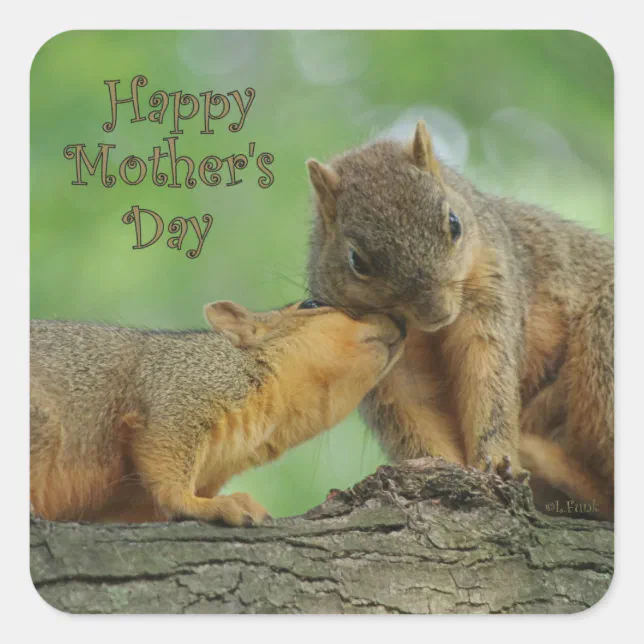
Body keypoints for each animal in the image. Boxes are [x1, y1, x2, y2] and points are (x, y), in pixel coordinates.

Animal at [305, 120, 614, 517]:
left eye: (454, 223)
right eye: (357, 260)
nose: (436, 312)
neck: (425, 332)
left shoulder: (492, 290)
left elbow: (488, 376)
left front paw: (496, 461)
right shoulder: (378, 356)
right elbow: (410, 408)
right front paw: (440, 467)